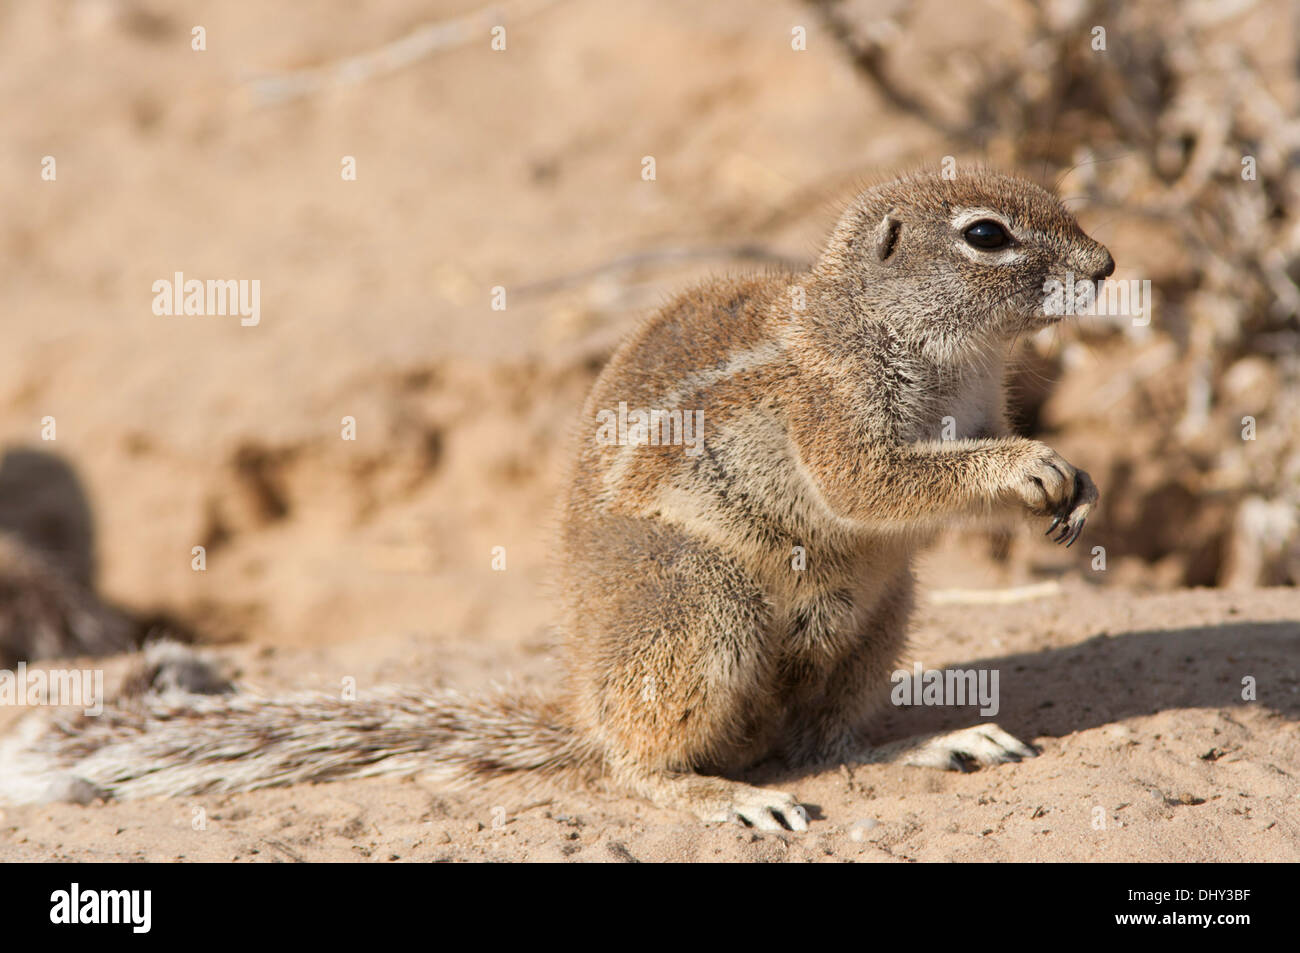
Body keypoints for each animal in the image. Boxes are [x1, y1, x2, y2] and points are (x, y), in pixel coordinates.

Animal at [0, 168, 1110, 829]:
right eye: (985, 234)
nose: (1105, 265)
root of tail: (583, 704)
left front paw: (1076, 482)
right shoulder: (829, 417)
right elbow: (875, 482)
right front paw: (1026, 469)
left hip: (878, 618)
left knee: (824, 742)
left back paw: (933, 740)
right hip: (696, 603)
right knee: (645, 762)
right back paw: (711, 796)